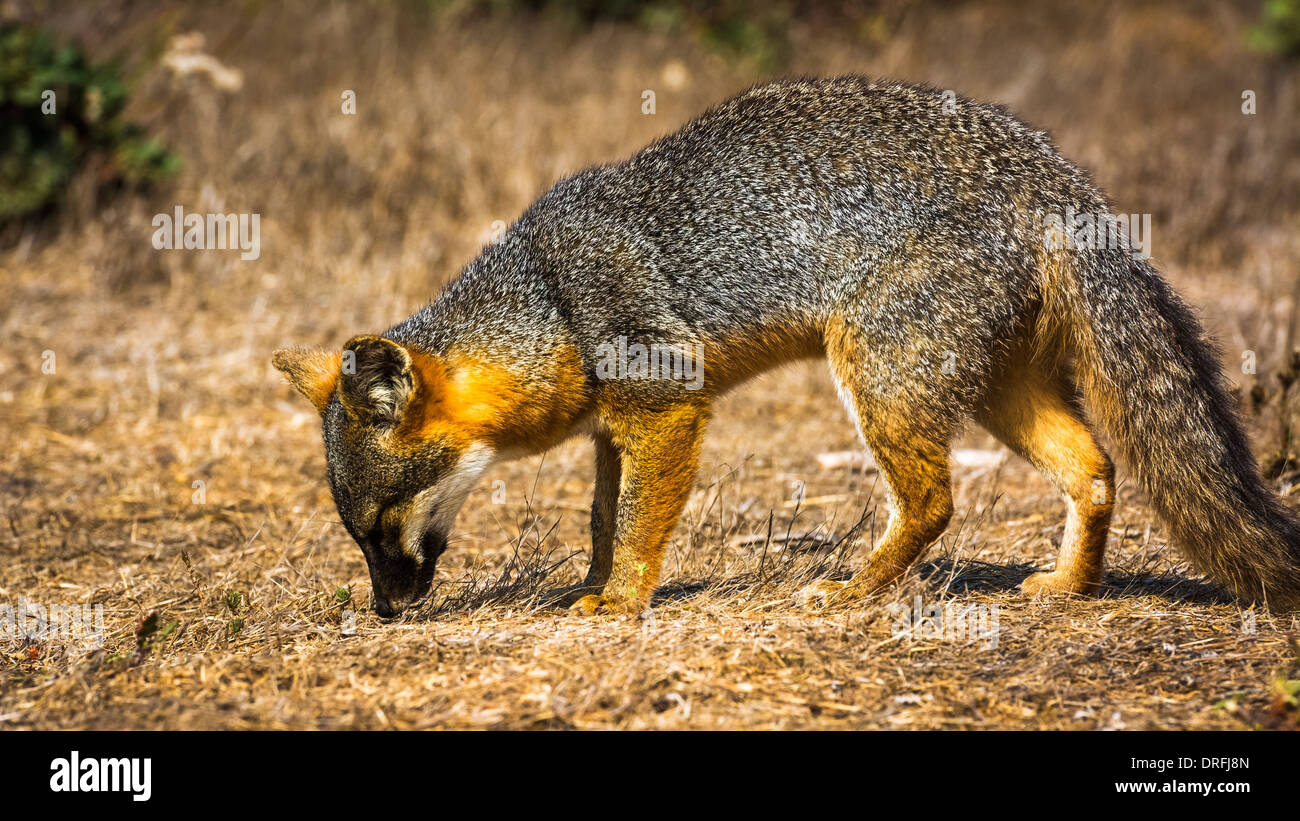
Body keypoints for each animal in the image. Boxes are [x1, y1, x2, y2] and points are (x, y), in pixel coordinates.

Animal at [274, 76, 1300, 618]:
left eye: (382, 524)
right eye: (356, 535)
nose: (385, 609)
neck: (550, 298)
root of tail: (1050, 171)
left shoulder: (667, 403)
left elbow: (639, 521)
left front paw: (623, 602)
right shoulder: (615, 425)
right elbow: (604, 517)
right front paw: (596, 583)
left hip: (881, 377)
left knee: (934, 500)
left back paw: (856, 588)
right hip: (993, 390)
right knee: (1093, 467)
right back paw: (1066, 586)